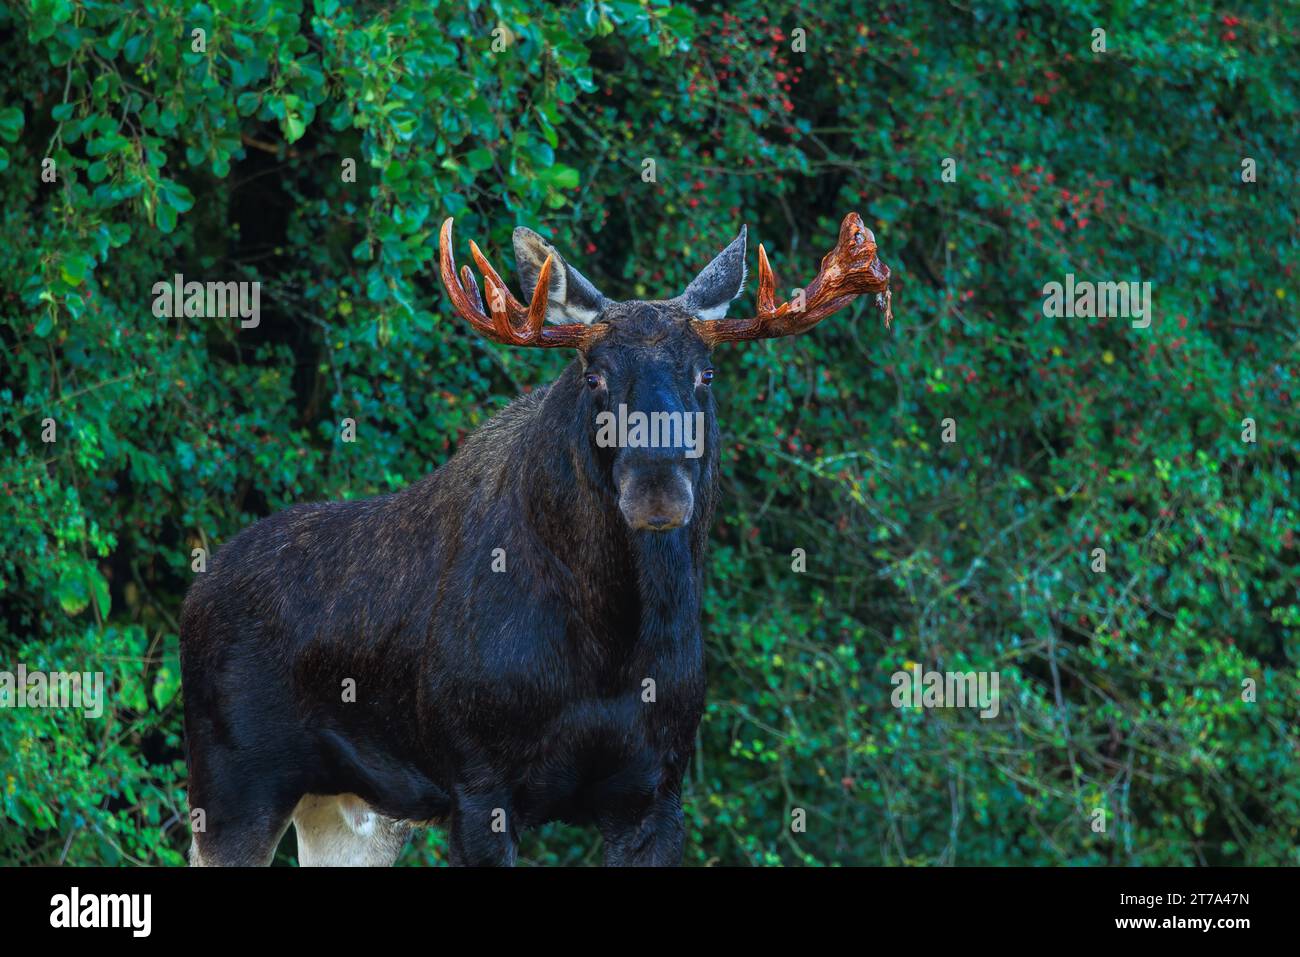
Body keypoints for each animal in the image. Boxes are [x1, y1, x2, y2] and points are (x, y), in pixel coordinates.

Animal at [178, 211, 891, 866]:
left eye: (706, 375)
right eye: (595, 375)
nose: (657, 490)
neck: (611, 645)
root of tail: (197, 590)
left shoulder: (656, 793)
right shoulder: (478, 784)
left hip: (355, 811)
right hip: (231, 784)